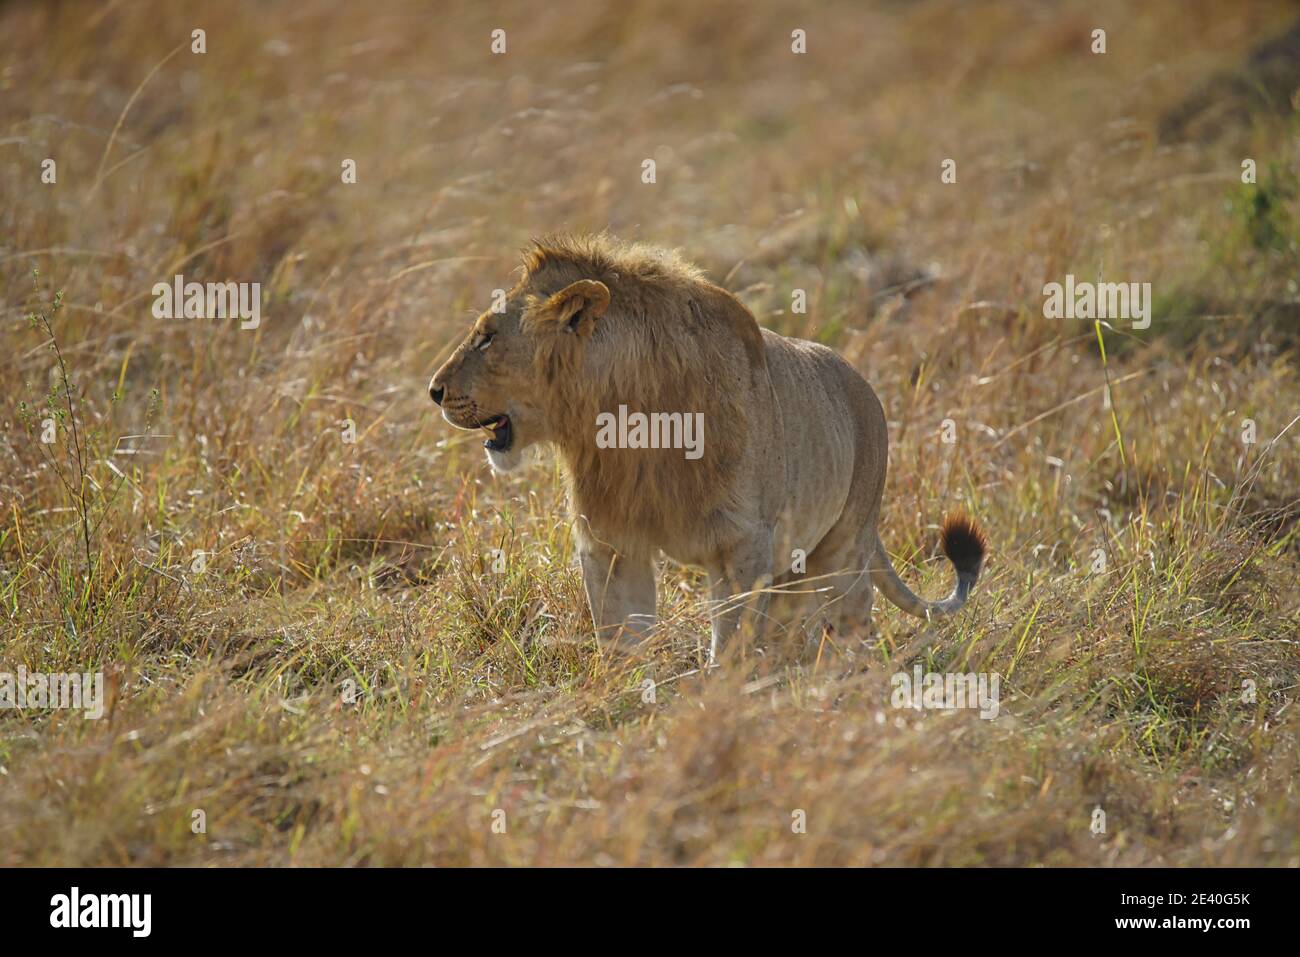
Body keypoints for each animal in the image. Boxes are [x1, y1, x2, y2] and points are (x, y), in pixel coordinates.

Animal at [428, 235, 986, 662]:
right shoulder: (612, 543)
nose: (434, 390)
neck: (624, 423)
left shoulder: (743, 547)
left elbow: (732, 642)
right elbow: (622, 636)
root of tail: (866, 388)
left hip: (844, 550)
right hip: (795, 568)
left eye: (486, 338)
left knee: (853, 626)